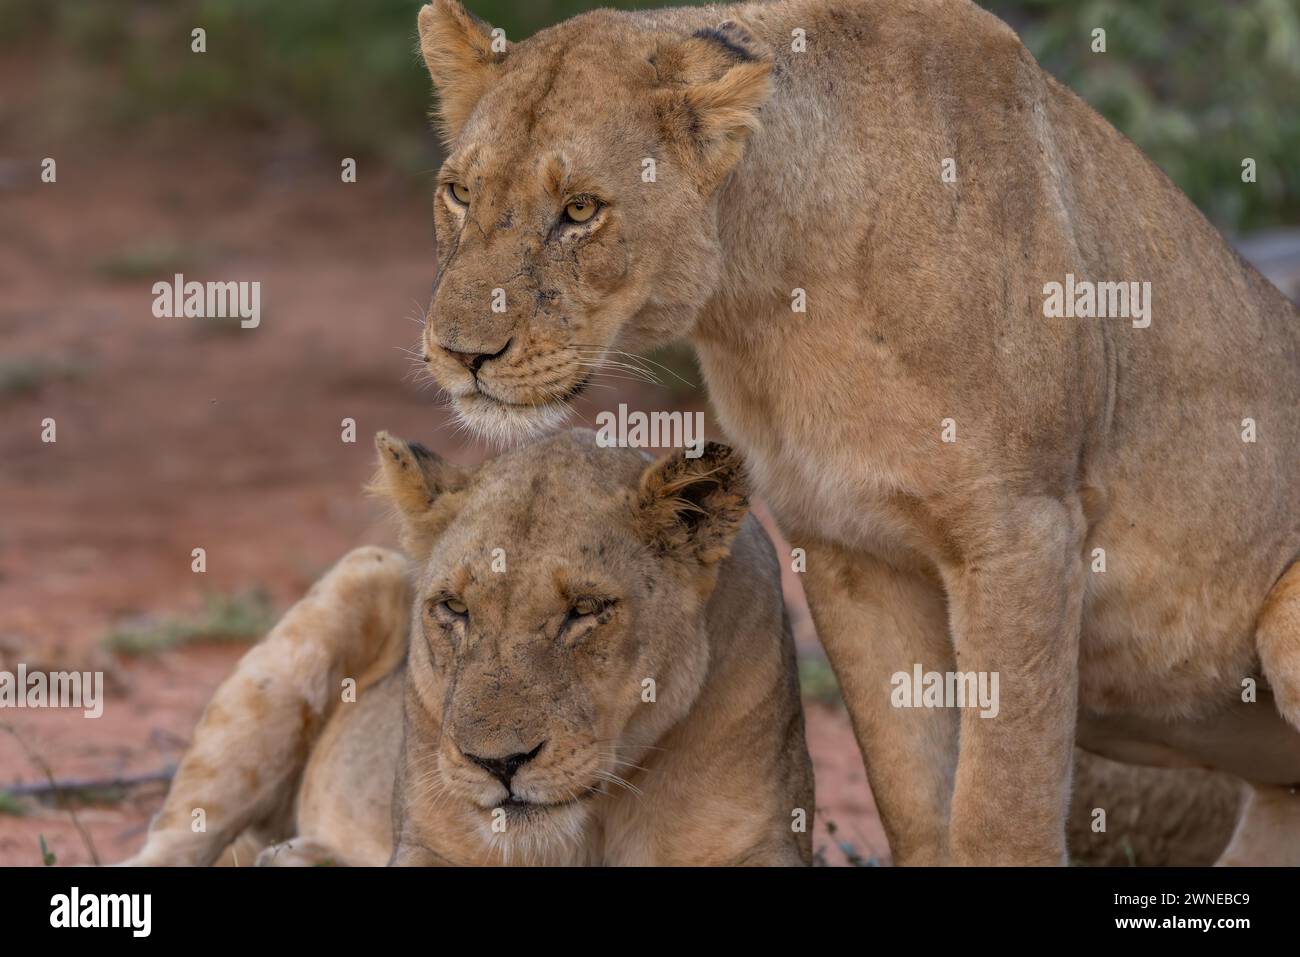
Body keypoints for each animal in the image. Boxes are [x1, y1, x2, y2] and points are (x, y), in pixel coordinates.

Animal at [122, 430, 814, 866]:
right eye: (454, 609)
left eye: (584, 612)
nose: (497, 764)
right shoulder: (431, 845)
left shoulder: (760, 846)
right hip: (361, 574)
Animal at [410, 0, 1300, 865]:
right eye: (458, 192)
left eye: (580, 210)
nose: (459, 353)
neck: (768, 295)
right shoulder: (850, 548)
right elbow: (915, 807)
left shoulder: (1023, 532)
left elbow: (1001, 811)